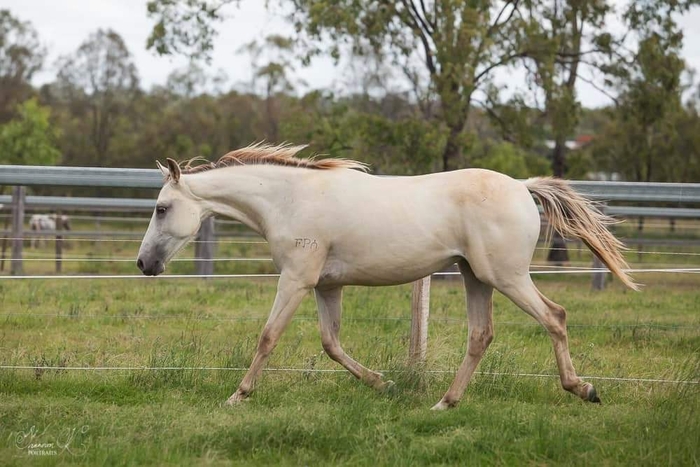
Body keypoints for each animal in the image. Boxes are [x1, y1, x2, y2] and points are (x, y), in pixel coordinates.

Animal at [137, 143, 637, 409]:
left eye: (161, 209)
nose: (144, 265)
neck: (290, 199)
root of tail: (522, 186)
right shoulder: (326, 286)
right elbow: (332, 344)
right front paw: (384, 383)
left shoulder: (296, 280)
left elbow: (268, 336)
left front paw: (237, 396)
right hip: (475, 276)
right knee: (481, 335)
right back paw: (444, 403)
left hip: (506, 276)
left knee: (554, 316)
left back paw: (584, 389)